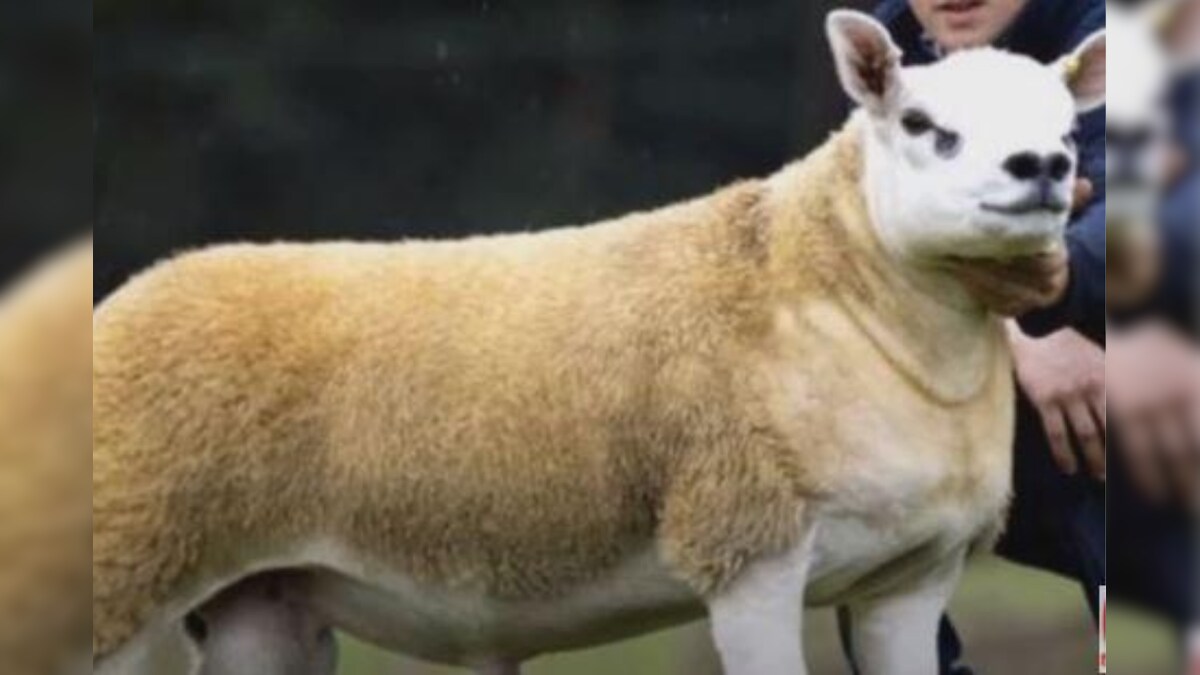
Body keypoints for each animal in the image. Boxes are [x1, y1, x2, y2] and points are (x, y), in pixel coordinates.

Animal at [93, 11, 1105, 675]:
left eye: (1067, 129)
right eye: (923, 127)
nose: (1045, 167)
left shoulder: (912, 578)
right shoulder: (747, 541)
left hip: (258, 605)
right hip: (127, 566)